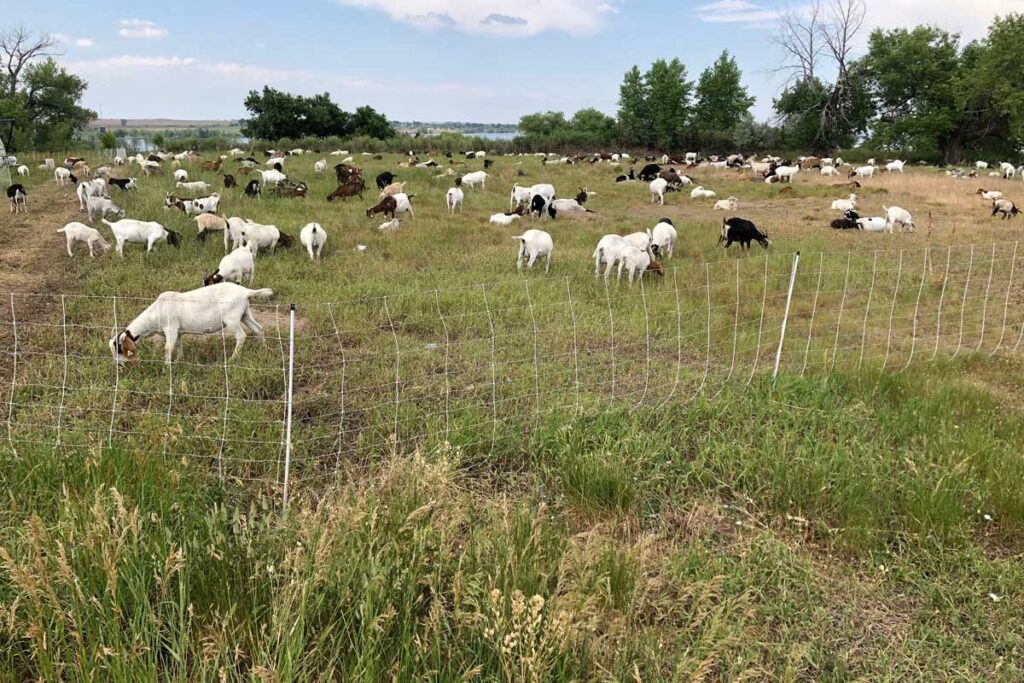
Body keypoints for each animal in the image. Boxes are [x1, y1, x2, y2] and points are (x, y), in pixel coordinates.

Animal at [110, 282, 273, 366]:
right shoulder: (178, 332)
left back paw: (232, 359)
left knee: (241, 336)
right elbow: (178, 345)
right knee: (258, 329)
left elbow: (168, 348)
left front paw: (167, 367)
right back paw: (264, 350)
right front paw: (179, 360)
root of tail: (245, 291)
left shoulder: (171, 328)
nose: (118, 365)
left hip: (231, 318)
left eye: (119, 349)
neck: (156, 312)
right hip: (245, 314)